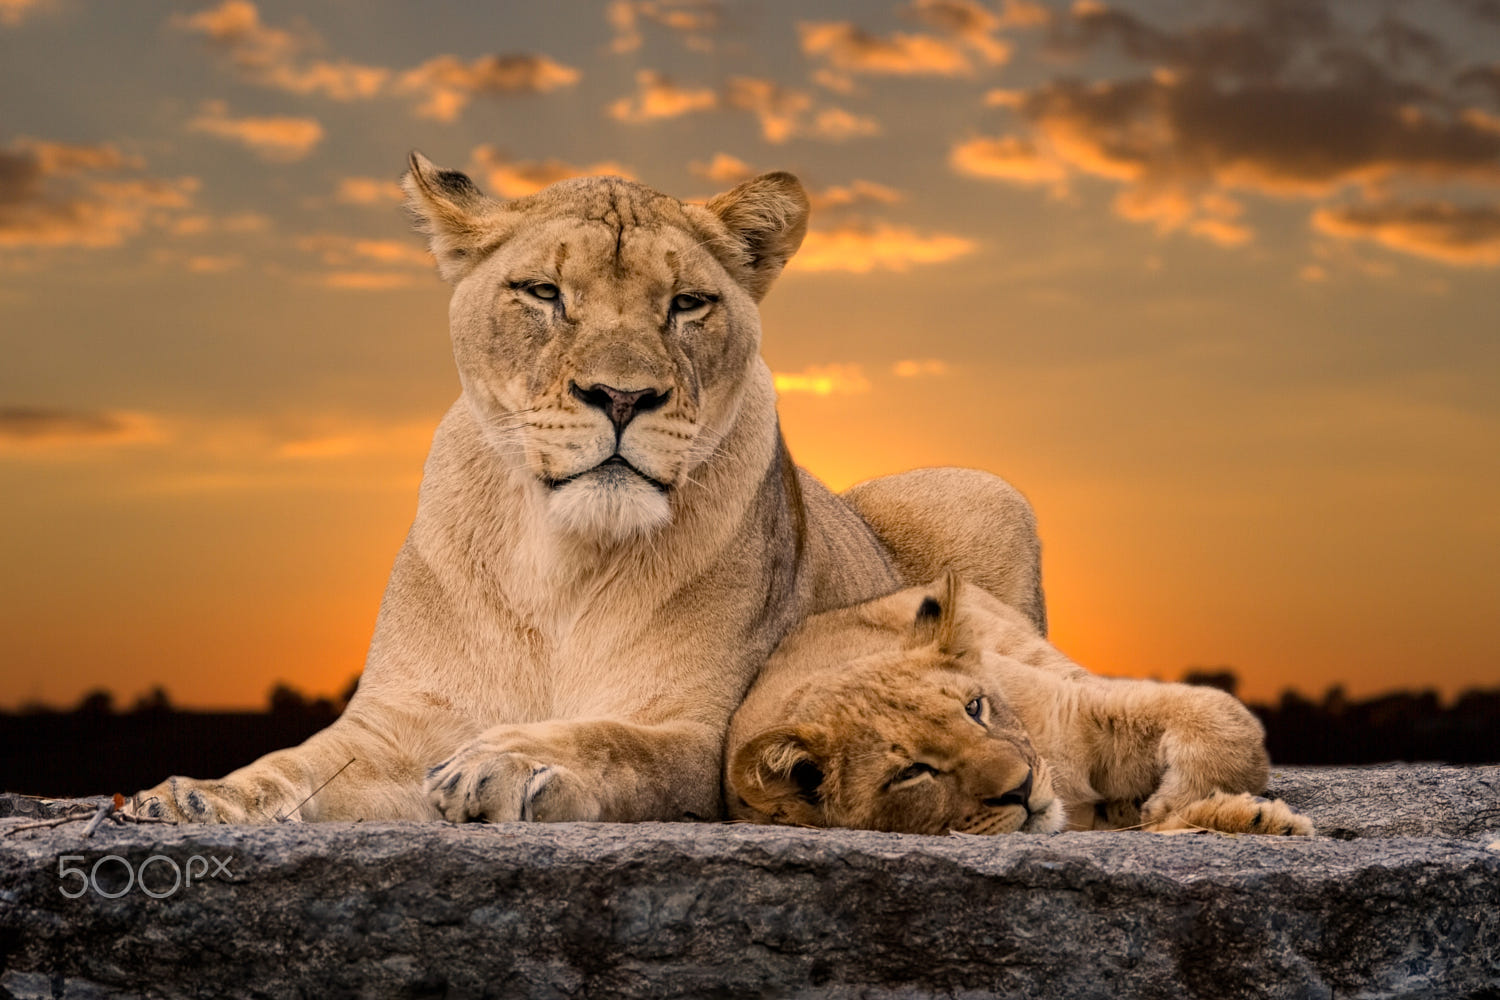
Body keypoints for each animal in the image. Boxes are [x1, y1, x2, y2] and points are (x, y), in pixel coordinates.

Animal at [132, 156, 1047, 824]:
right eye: (544, 293)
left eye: (688, 303)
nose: (621, 396)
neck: (558, 556)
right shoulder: (396, 719)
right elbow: (297, 765)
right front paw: (196, 798)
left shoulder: (708, 736)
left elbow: (613, 742)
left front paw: (513, 760)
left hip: (984, 491)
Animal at [727, 572, 1313, 837]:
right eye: (911, 773)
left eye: (974, 708)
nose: (1023, 788)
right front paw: (1243, 817)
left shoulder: (1081, 707)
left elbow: (1224, 716)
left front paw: (1191, 802)